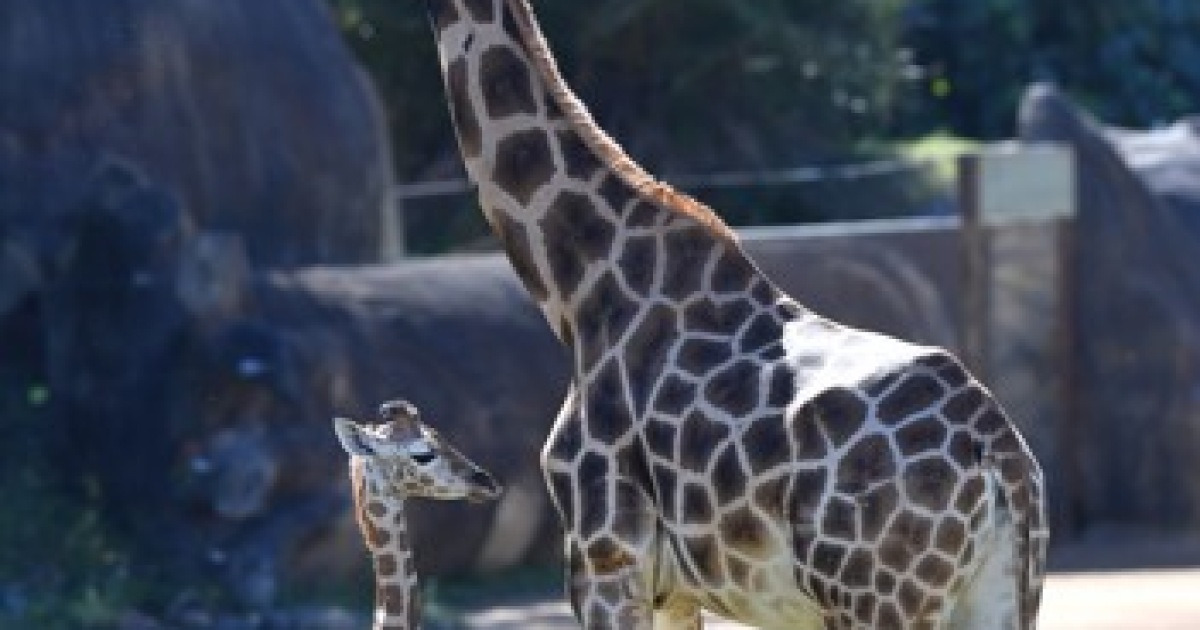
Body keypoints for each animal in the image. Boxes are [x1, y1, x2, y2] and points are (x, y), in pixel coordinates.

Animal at [413, 1, 1048, 628]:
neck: (582, 288)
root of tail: (1000, 455)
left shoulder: (605, 559)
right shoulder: (673, 590)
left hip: (876, 600)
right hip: (999, 593)